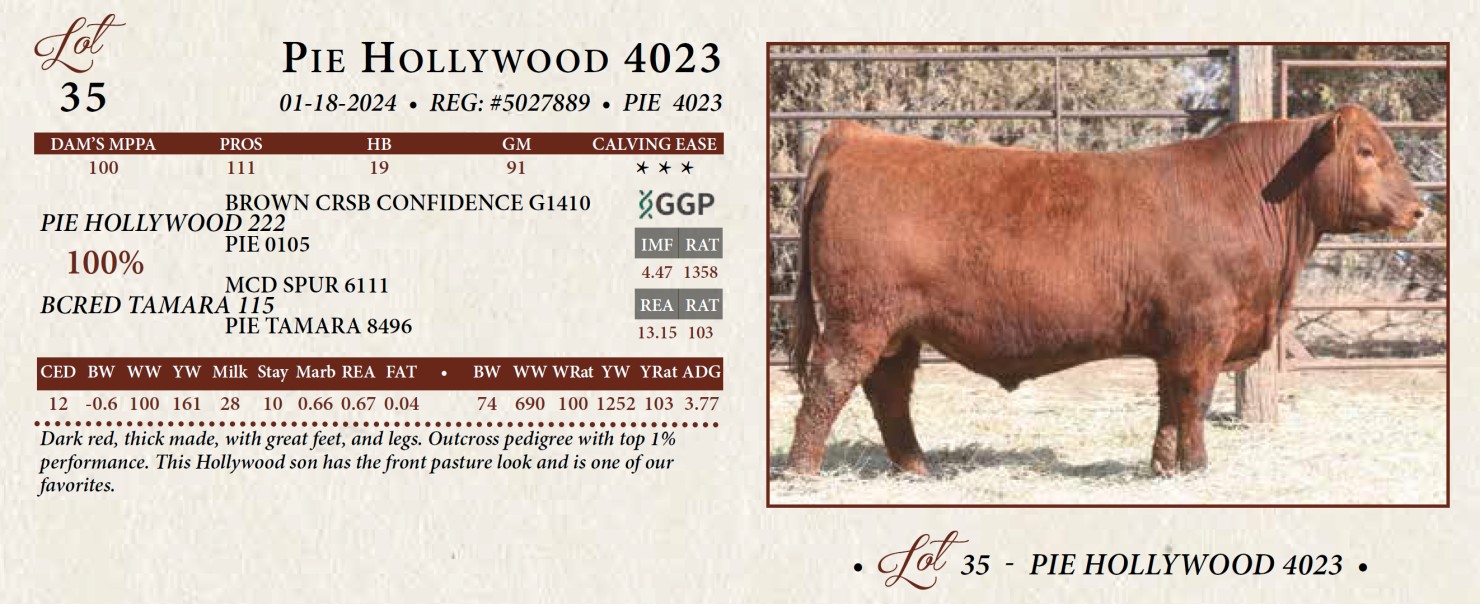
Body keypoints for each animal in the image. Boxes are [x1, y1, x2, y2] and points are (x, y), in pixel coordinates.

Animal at [785, 104, 1425, 477]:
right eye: (1366, 152)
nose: (1419, 210)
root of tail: (856, 136)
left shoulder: (1176, 340)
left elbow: (1170, 402)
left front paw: (1165, 467)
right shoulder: (1204, 332)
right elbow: (1195, 399)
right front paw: (1198, 467)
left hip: (899, 328)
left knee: (888, 391)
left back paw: (917, 469)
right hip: (859, 318)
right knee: (830, 382)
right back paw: (802, 472)